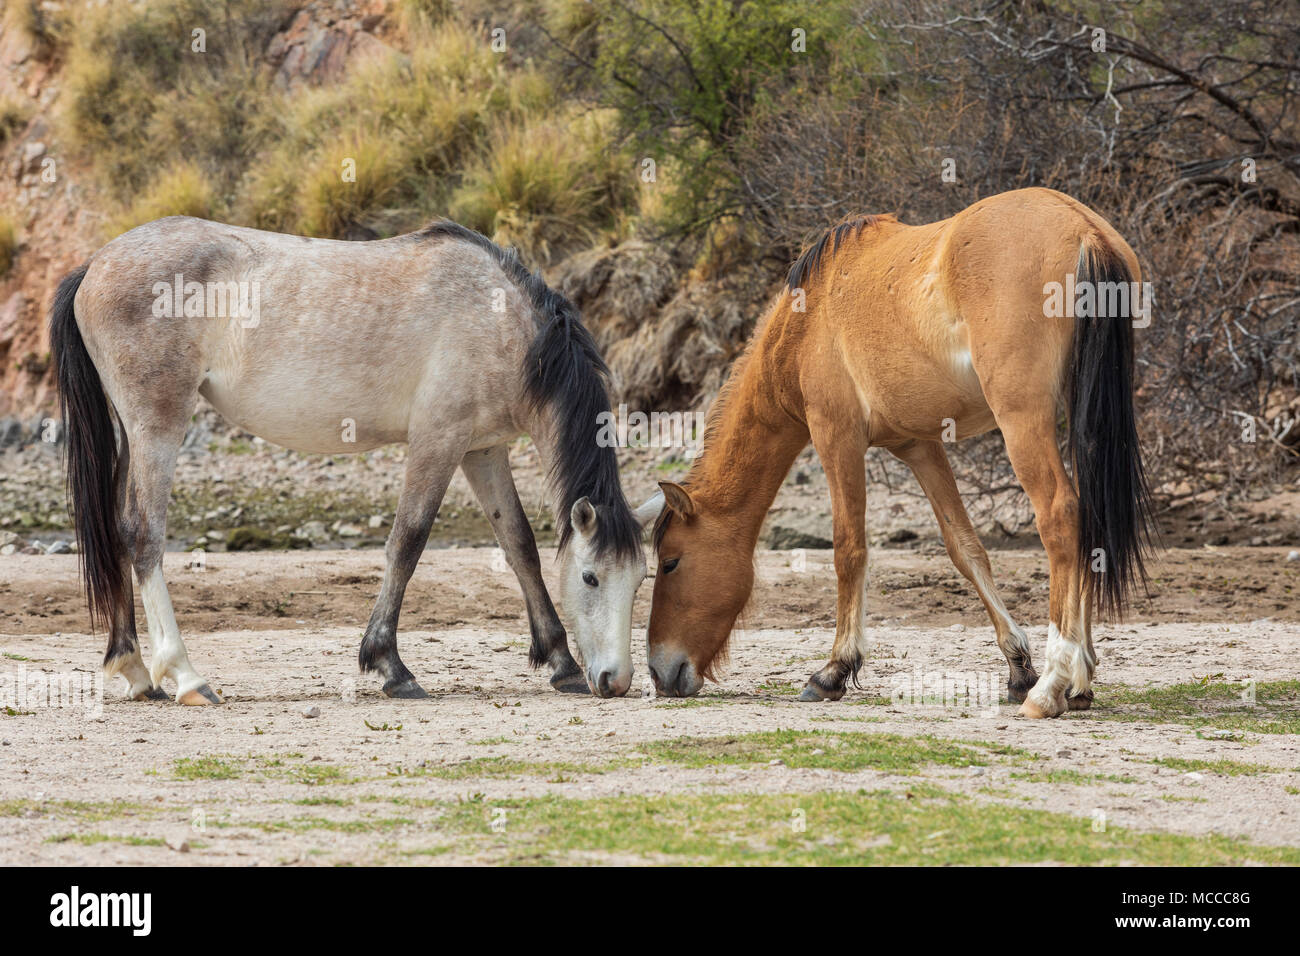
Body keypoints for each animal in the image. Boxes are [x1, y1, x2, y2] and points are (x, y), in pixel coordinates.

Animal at [50, 217, 660, 704]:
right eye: (591, 577)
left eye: (639, 579)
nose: (616, 680)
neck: (501, 322)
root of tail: (94, 265)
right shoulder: (438, 440)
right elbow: (408, 542)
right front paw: (390, 665)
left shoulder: (482, 450)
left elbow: (519, 546)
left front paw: (560, 662)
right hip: (158, 428)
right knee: (142, 533)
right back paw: (186, 675)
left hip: (133, 435)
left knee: (116, 529)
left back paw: (133, 669)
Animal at [636, 187, 1154, 718]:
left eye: (671, 562)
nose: (660, 673)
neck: (806, 320)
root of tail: (1083, 229)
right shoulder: (920, 447)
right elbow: (965, 549)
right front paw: (1016, 666)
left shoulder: (836, 438)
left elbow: (849, 550)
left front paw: (833, 671)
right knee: (1087, 518)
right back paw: (1079, 681)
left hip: (1022, 420)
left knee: (1060, 515)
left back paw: (1051, 686)